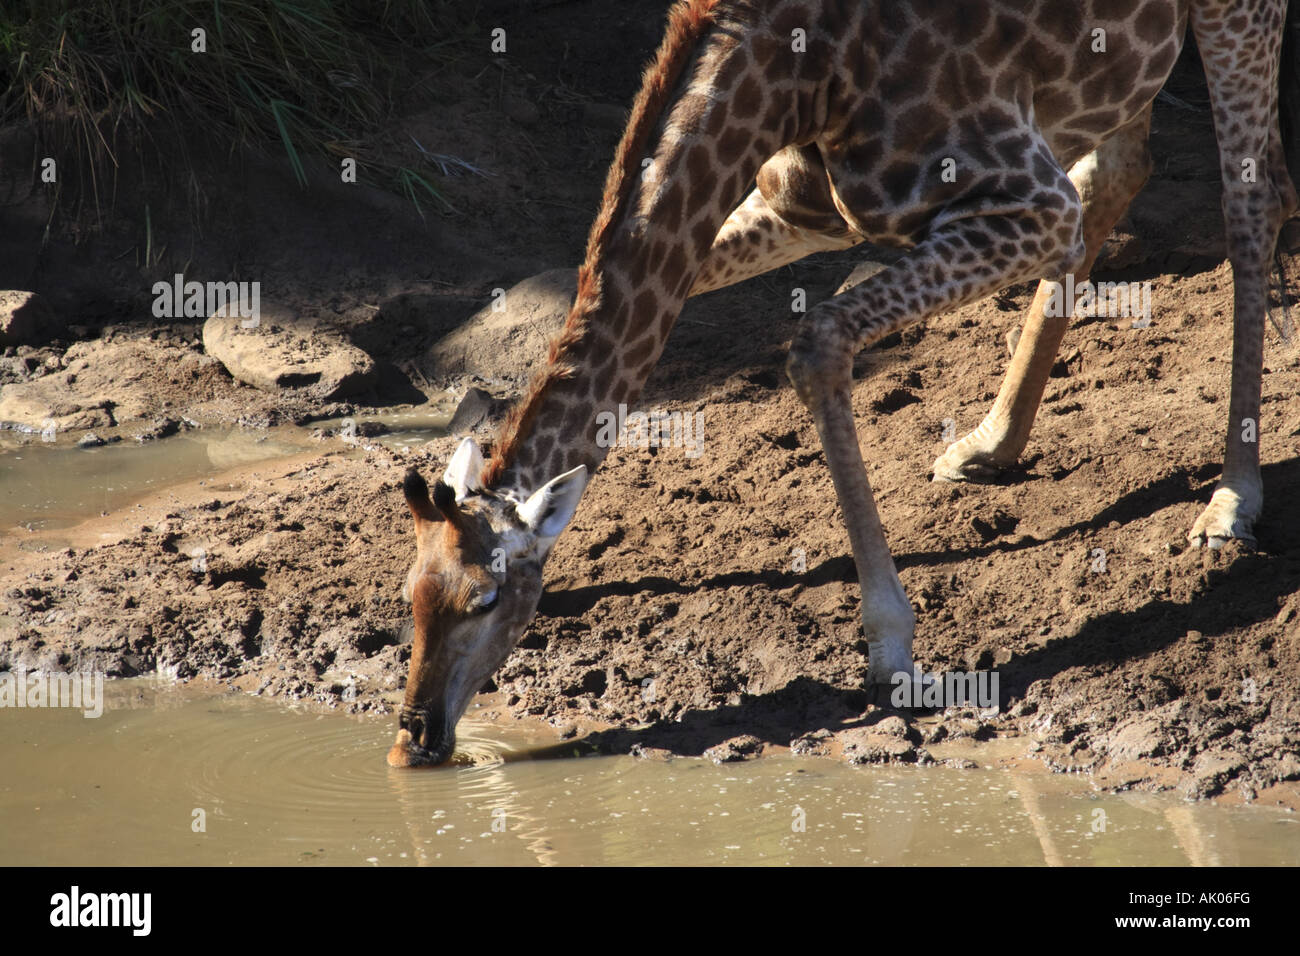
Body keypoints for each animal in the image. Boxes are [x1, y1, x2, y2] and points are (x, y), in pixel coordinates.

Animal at [387, 0, 1297, 767]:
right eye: (411, 597)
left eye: (485, 600)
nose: (413, 741)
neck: (796, 79)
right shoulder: (805, 213)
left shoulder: (1030, 205)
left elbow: (818, 340)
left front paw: (892, 653)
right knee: (1125, 165)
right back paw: (989, 445)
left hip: (1233, 17)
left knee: (1248, 203)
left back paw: (1230, 502)